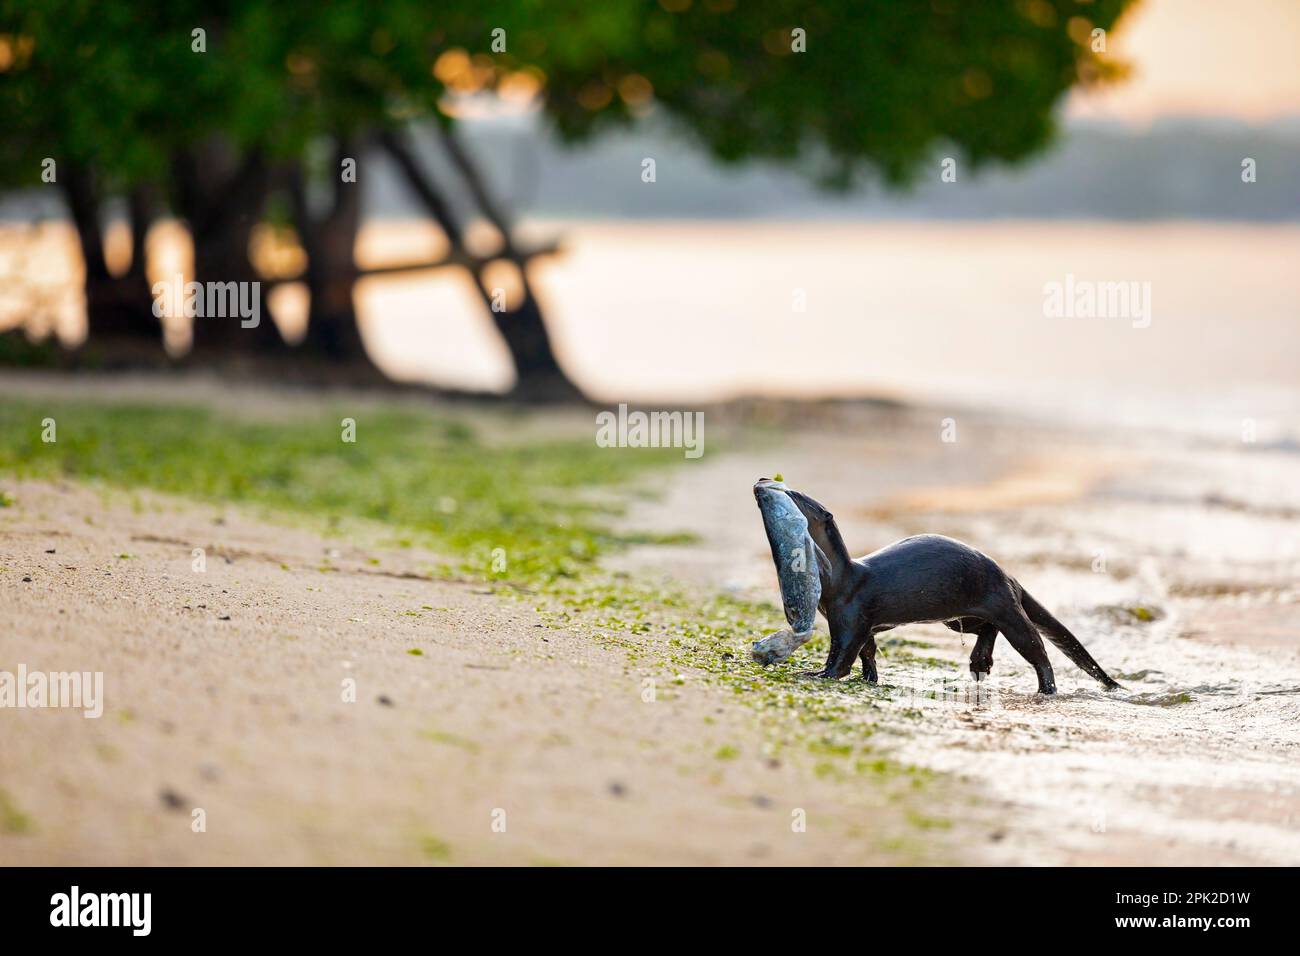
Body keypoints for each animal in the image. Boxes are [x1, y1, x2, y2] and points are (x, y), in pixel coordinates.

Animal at [751, 479, 1120, 694]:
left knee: (1034, 646)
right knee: (986, 629)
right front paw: (868, 679)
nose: (762, 482)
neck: (841, 582)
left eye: (796, 496)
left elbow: (842, 657)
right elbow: (868, 651)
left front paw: (817, 673)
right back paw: (980, 662)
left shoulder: (850, 616)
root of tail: (1007, 574)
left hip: (1003, 603)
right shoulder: (856, 621)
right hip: (957, 616)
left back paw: (1045, 689)